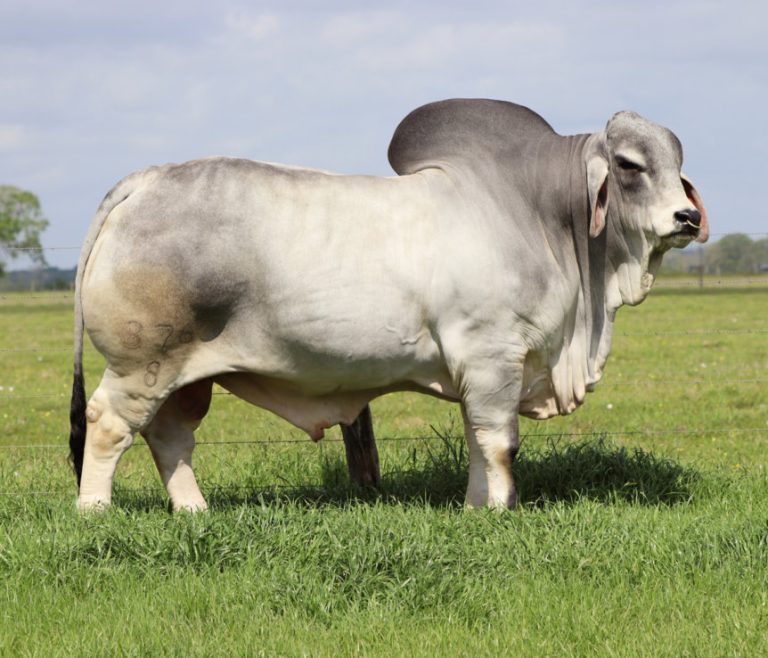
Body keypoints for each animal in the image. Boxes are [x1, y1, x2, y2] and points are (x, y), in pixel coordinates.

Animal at [68, 99, 708, 511]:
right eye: (629, 165)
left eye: (679, 165)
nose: (686, 217)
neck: (541, 214)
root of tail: (145, 180)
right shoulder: (494, 355)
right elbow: (500, 444)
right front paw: (503, 509)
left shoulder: (480, 370)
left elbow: (477, 442)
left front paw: (476, 508)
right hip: (142, 362)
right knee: (107, 427)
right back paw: (95, 512)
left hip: (185, 376)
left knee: (170, 437)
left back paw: (194, 512)